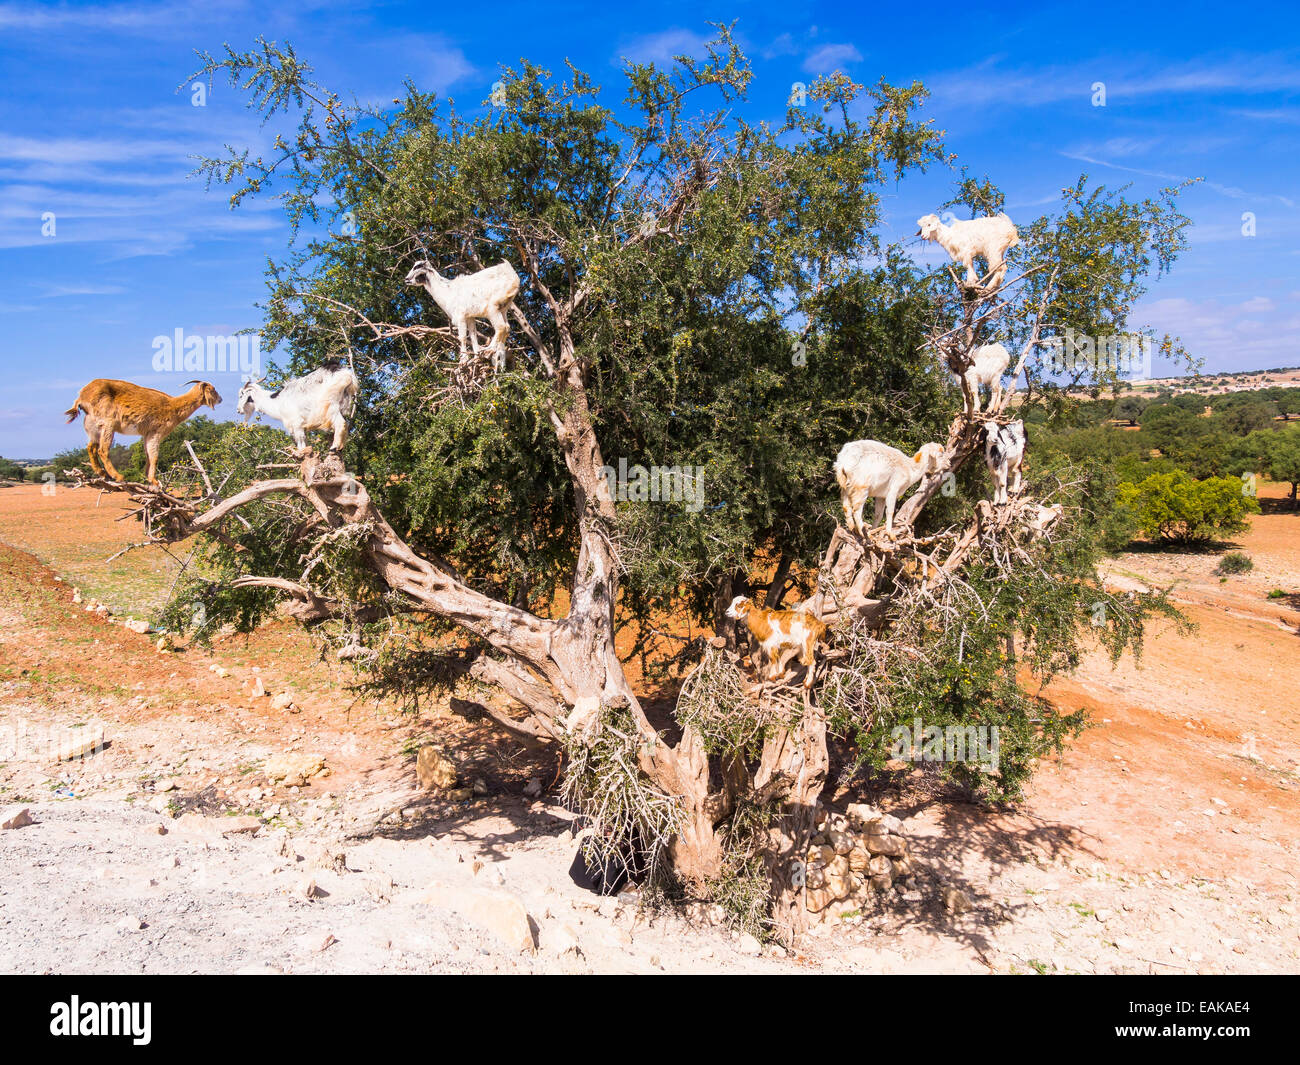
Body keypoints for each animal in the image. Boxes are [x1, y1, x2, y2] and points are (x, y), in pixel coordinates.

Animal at [64, 379, 221, 484]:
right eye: (212, 389)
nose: (220, 399)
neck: (174, 406)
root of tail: (82, 396)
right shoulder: (156, 432)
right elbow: (154, 456)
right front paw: (154, 481)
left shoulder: (146, 434)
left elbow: (147, 455)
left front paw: (148, 478)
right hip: (108, 424)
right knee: (102, 450)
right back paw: (118, 476)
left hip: (93, 427)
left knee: (91, 447)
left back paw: (102, 473)